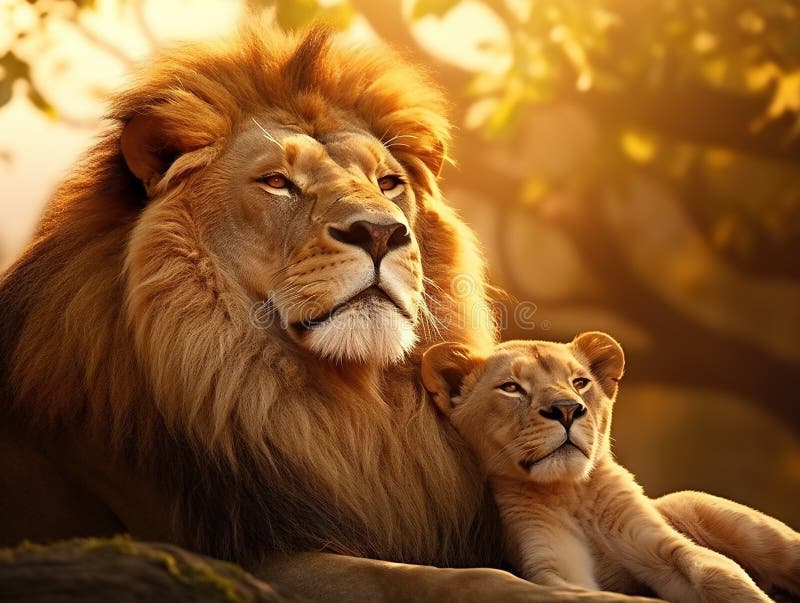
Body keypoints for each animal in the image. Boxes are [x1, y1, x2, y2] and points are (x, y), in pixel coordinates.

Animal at [422, 333, 800, 601]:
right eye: (511, 388)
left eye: (579, 382)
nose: (567, 409)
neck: (571, 492)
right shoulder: (554, 568)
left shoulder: (658, 544)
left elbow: (718, 573)